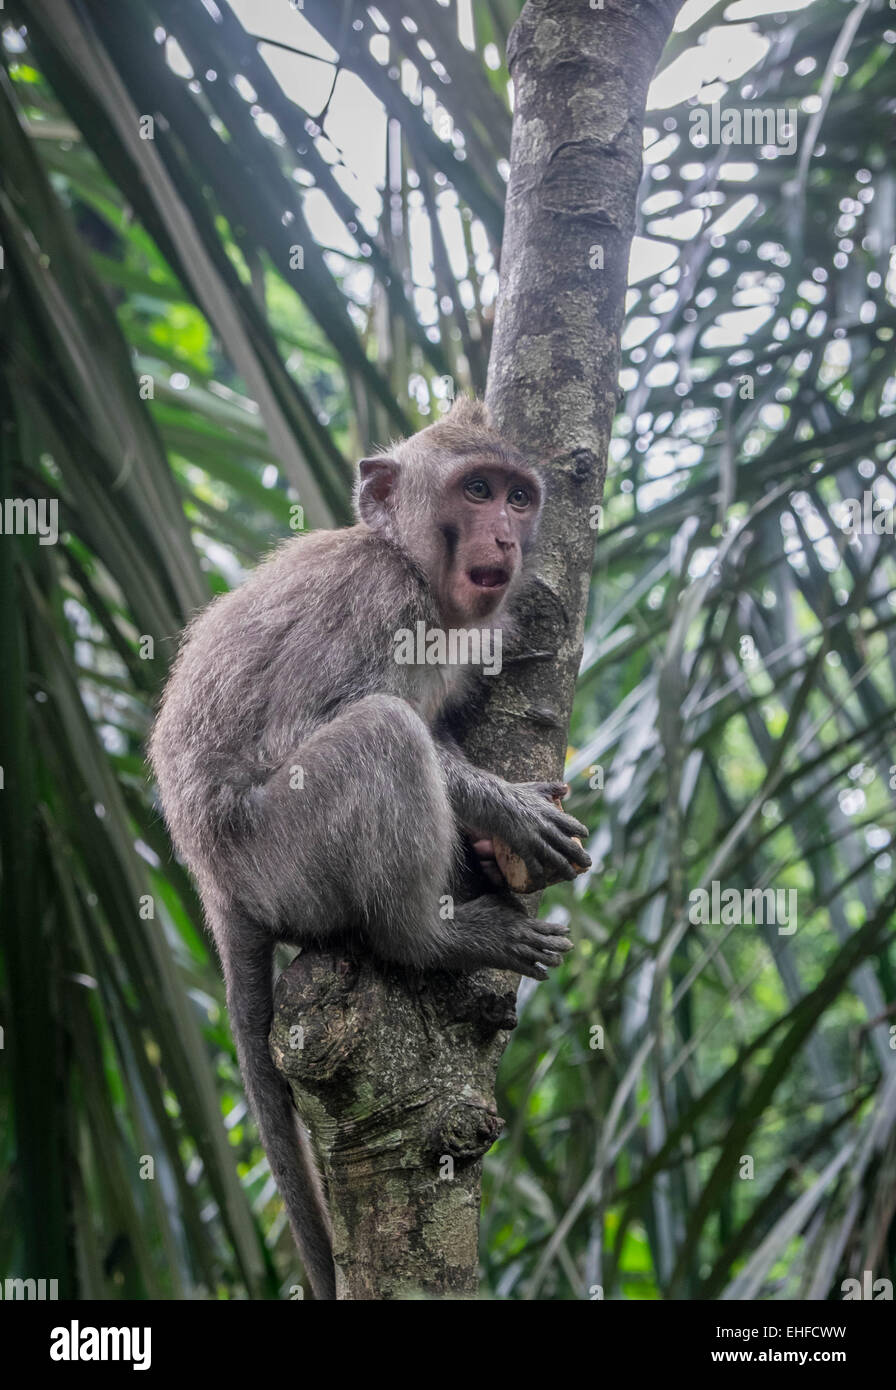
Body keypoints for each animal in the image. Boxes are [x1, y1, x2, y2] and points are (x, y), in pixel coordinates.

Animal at [148, 397, 591, 1300]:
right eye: (477, 490)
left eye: (519, 497)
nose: (505, 537)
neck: (405, 560)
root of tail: (212, 885)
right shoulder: (379, 605)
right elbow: (311, 728)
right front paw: (504, 810)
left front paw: (491, 834)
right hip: (277, 854)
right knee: (381, 733)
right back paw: (429, 936)